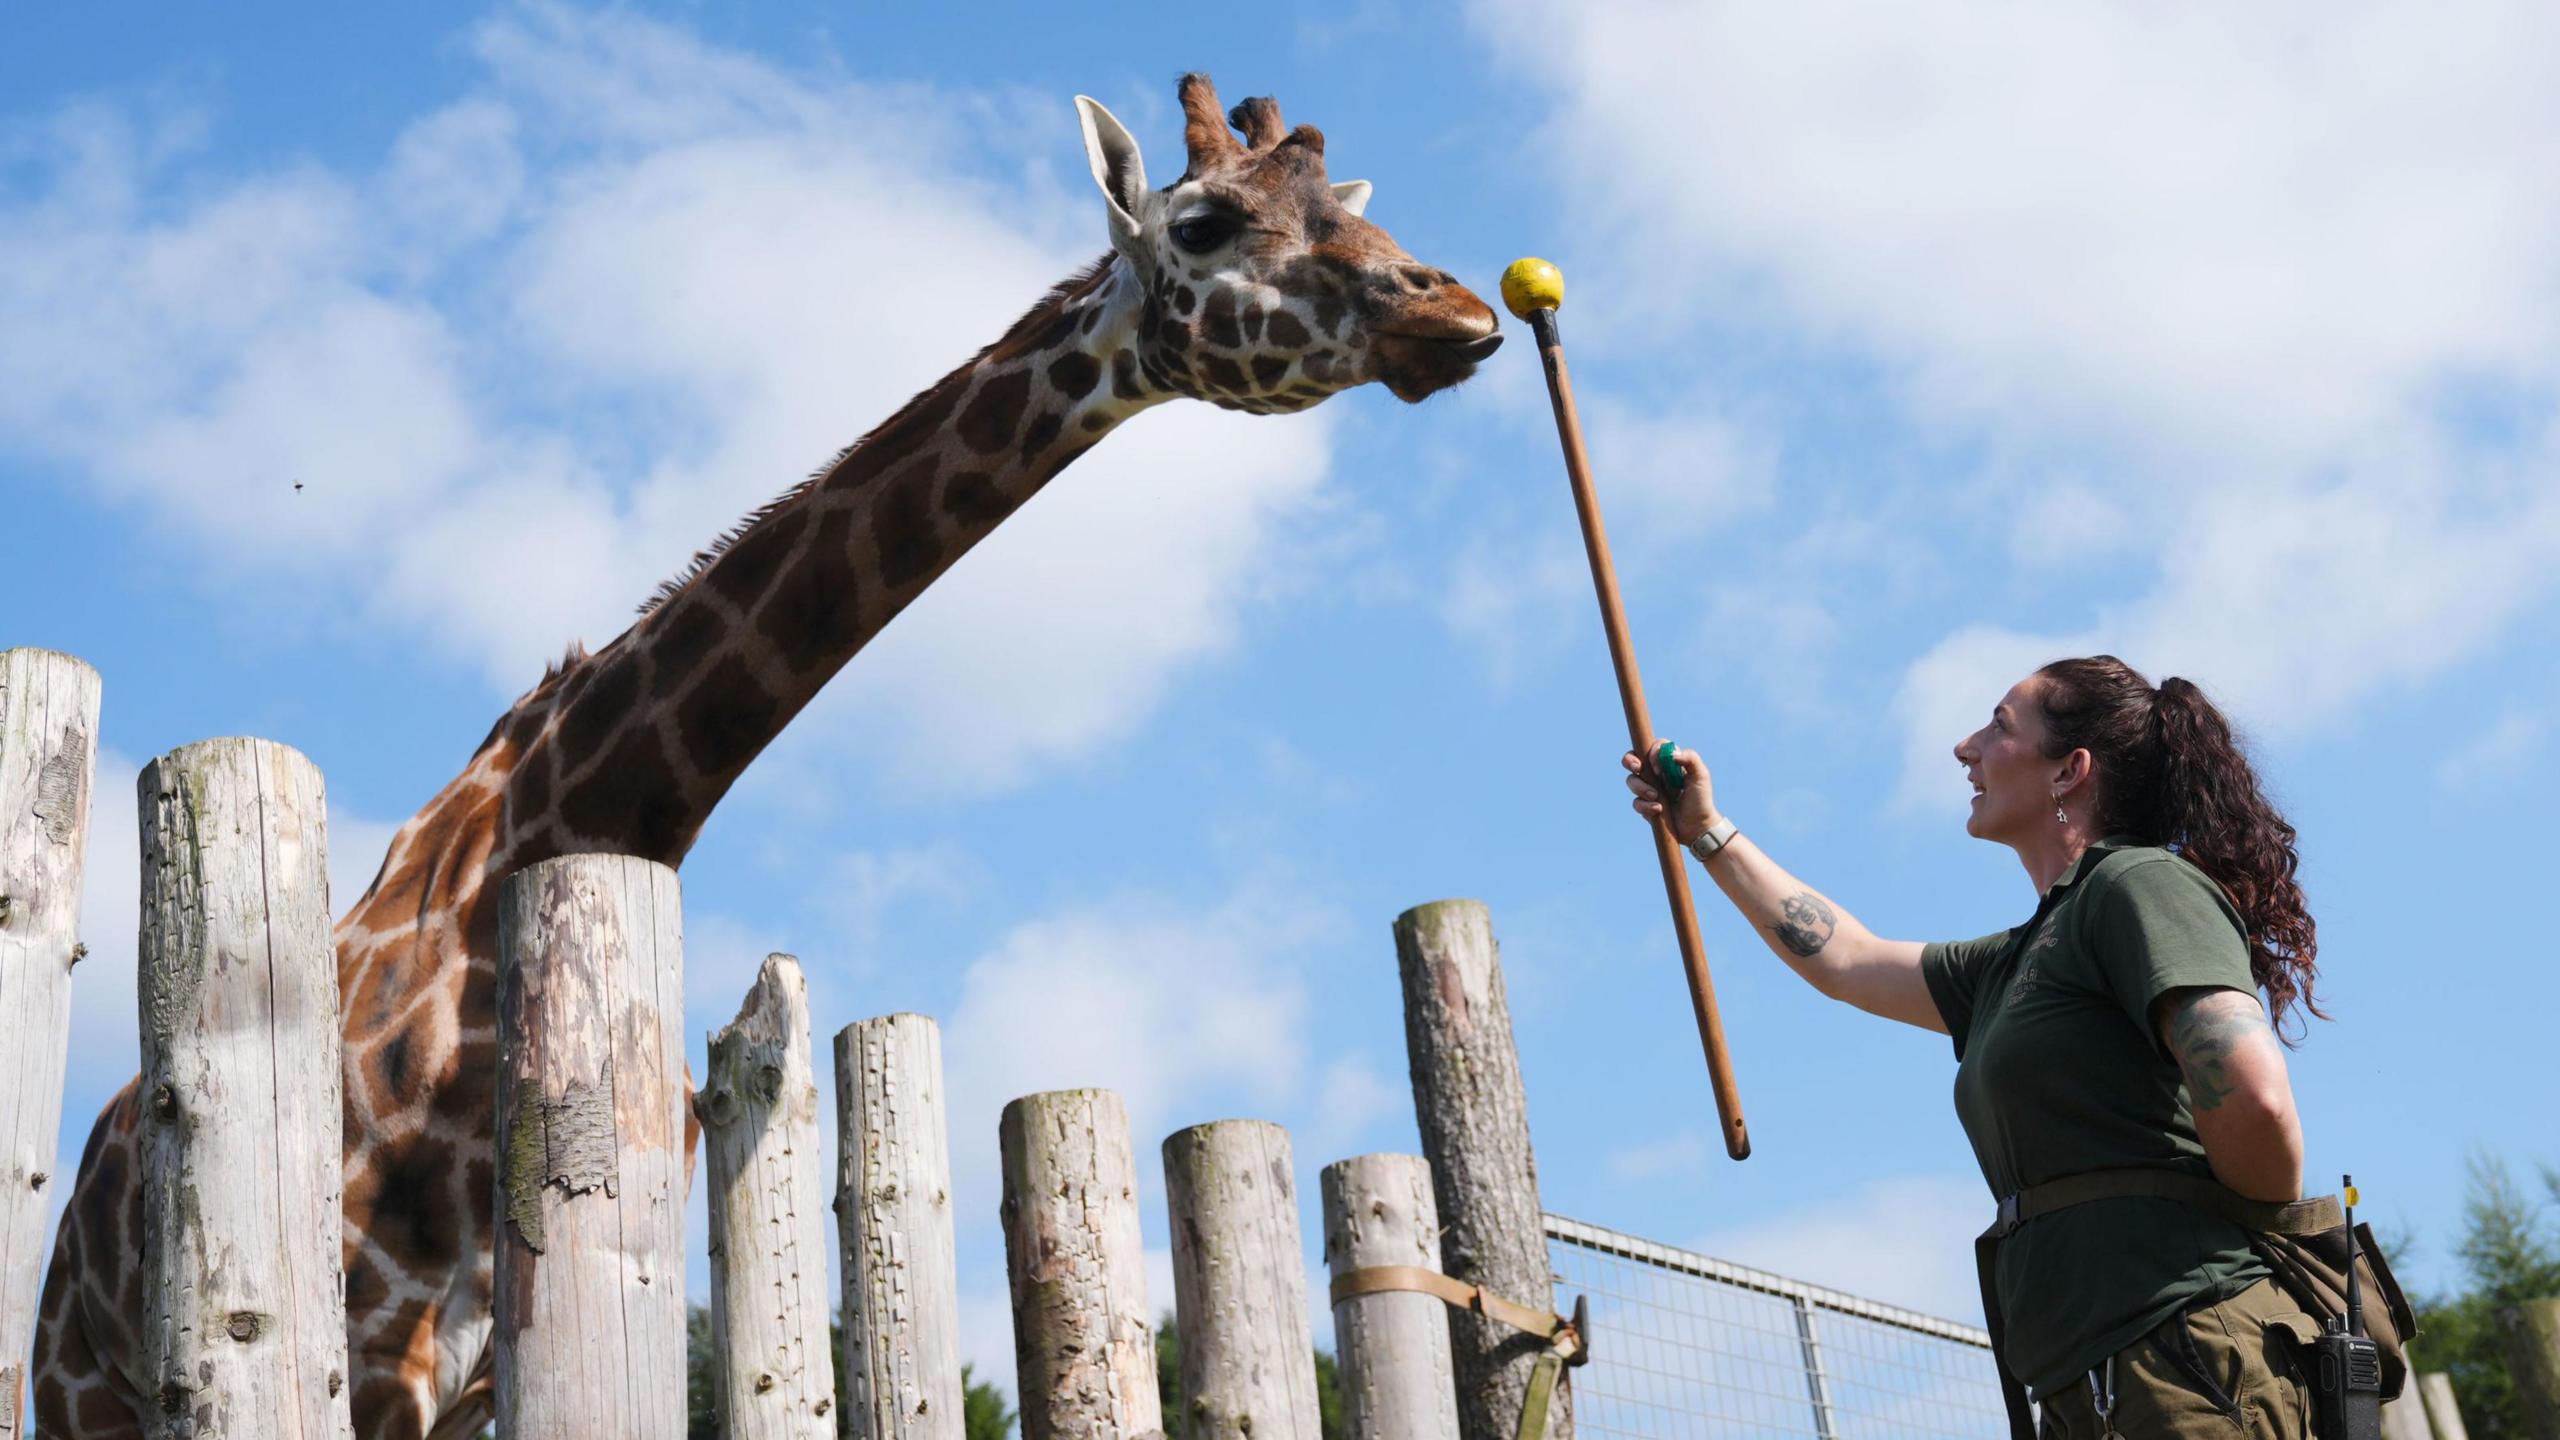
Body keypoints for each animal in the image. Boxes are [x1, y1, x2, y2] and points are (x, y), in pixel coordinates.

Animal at [28, 75, 1499, 1437]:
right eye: (1203, 222)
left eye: (1342, 203)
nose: (1458, 312)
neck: (587, 823)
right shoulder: (368, 1348)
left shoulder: (486, 1366)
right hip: (93, 1389)